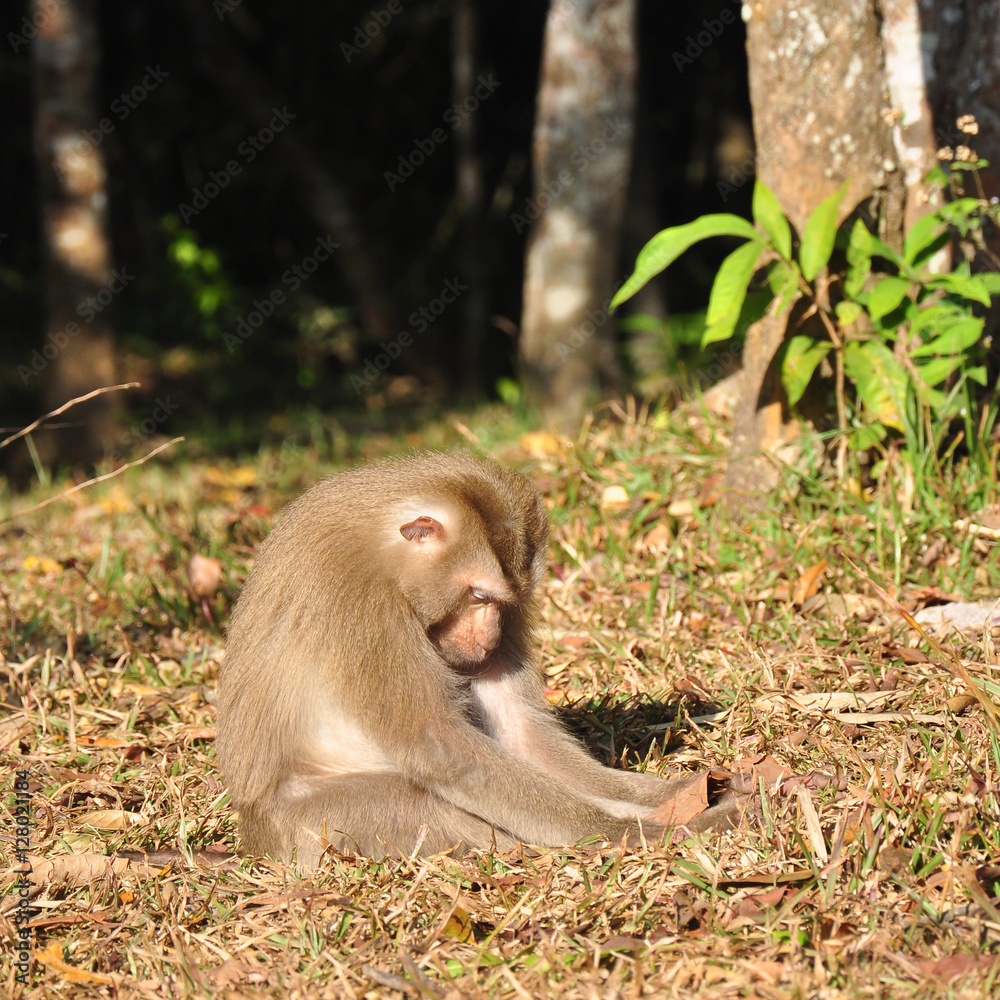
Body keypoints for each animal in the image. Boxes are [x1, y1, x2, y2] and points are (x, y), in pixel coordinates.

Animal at [216, 453, 740, 867]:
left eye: (504, 604)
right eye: (478, 594)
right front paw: (637, 832)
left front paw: (667, 799)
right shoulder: (358, 604)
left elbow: (517, 731)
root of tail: (257, 836)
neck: (382, 550)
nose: (489, 637)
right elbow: (439, 749)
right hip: (317, 823)